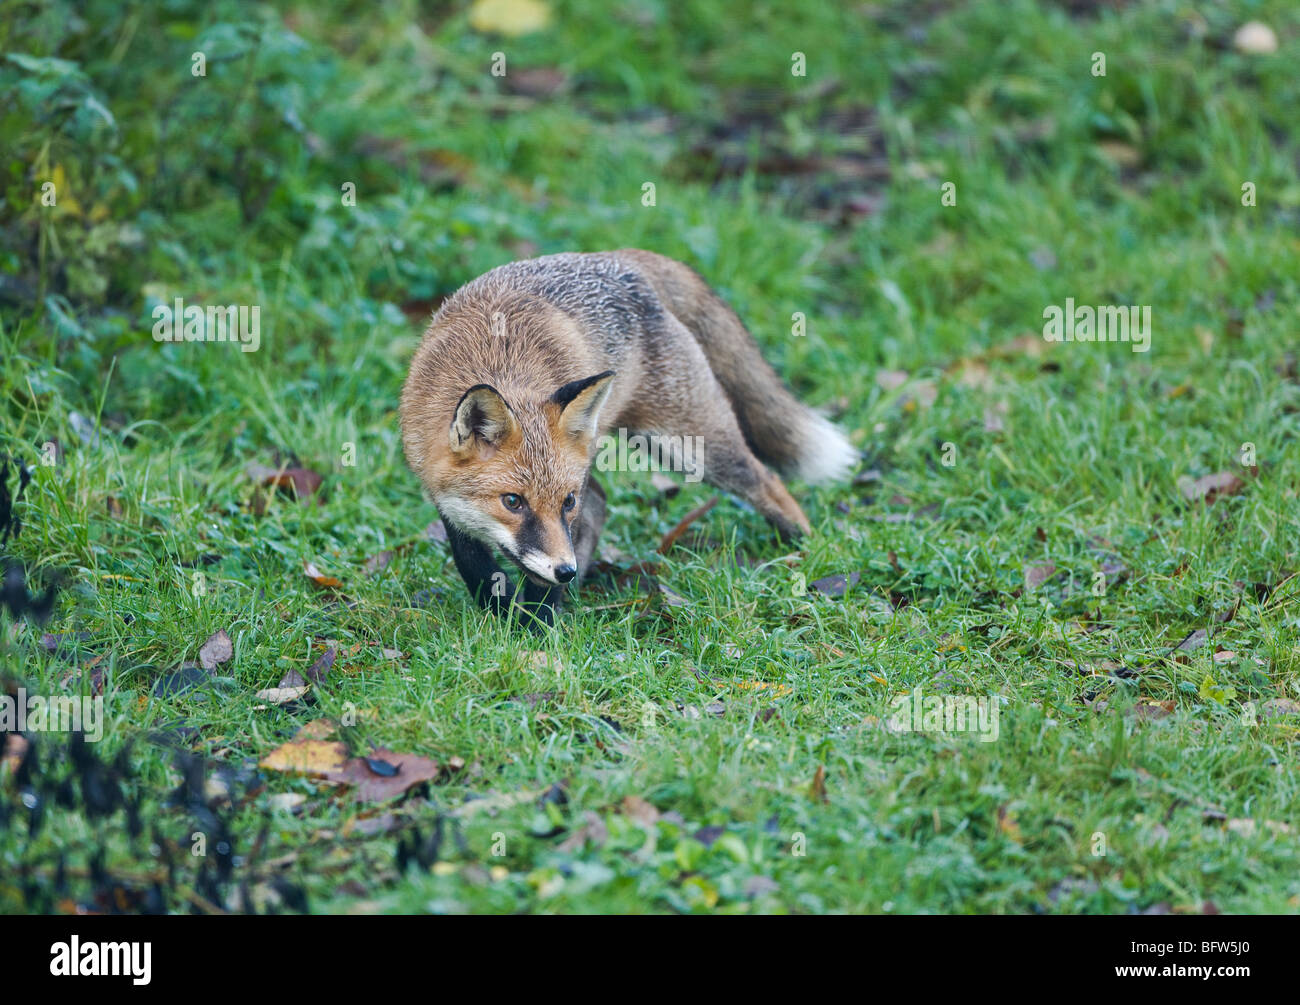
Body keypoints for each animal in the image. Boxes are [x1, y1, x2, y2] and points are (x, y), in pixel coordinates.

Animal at [399, 250, 857, 625]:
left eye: (565, 502)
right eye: (513, 502)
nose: (564, 570)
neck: (499, 359)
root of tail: (620, 257)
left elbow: (538, 581)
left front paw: (537, 628)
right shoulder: (442, 492)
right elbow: (473, 564)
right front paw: (504, 611)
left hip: (687, 446)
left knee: (768, 481)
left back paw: (804, 547)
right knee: (601, 501)